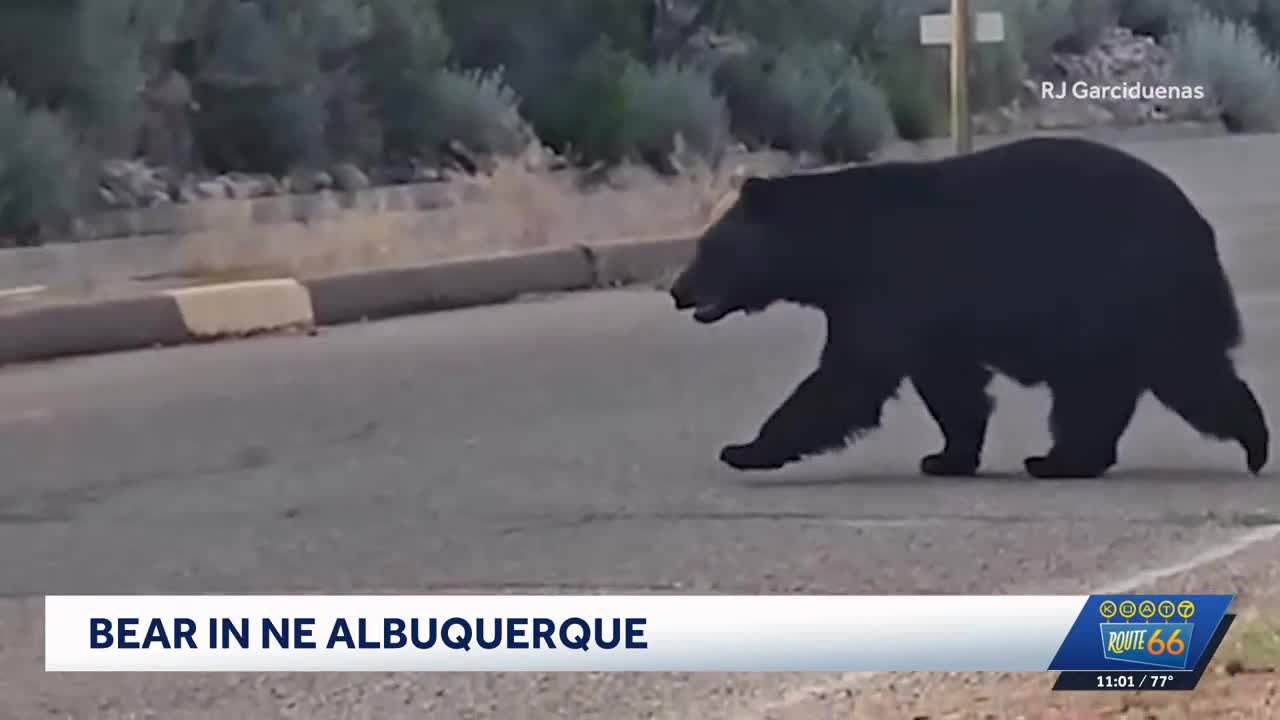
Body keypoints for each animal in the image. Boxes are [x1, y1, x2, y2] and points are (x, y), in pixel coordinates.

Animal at [669, 136, 1269, 479]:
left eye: (707, 249)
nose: (677, 290)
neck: (838, 248)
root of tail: (1199, 228)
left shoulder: (889, 285)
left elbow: (849, 377)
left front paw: (745, 449)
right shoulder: (928, 315)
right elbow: (950, 385)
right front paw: (947, 457)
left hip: (1124, 290)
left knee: (1150, 377)